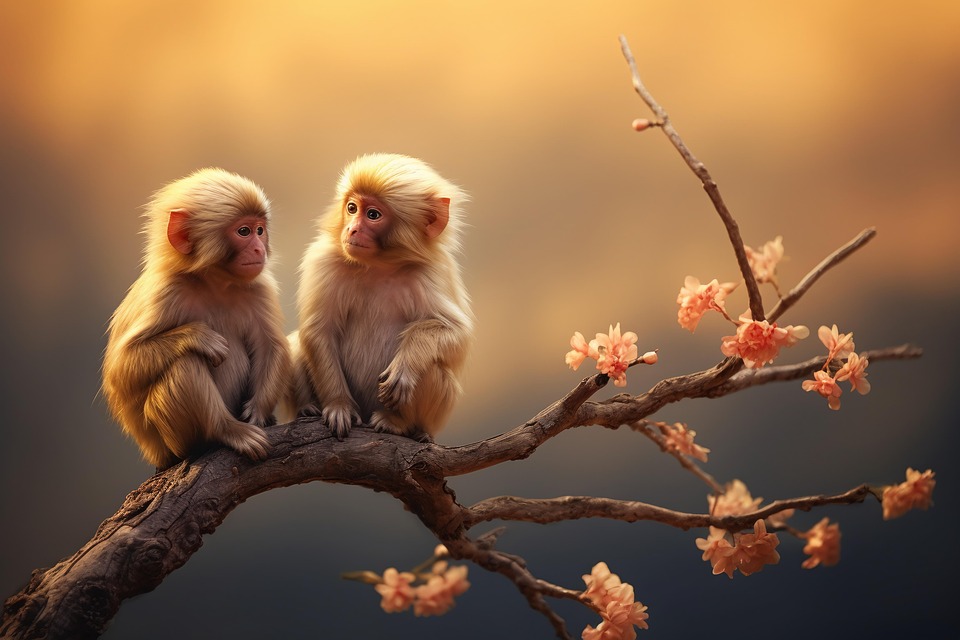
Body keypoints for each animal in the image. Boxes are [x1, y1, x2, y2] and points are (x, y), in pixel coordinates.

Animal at [102, 168, 292, 470]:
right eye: (244, 231)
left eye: (260, 230)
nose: (259, 250)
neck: (213, 282)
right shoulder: (165, 292)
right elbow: (120, 372)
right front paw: (197, 335)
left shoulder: (259, 288)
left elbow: (272, 347)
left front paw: (258, 412)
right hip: (171, 440)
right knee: (185, 362)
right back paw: (226, 430)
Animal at [288, 153, 474, 441]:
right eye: (352, 208)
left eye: (373, 214)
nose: (352, 230)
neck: (378, 266)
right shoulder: (324, 261)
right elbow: (318, 331)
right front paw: (339, 405)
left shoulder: (432, 272)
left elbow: (456, 334)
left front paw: (406, 365)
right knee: (296, 344)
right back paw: (308, 408)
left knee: (432, 364)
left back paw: (400, 423)